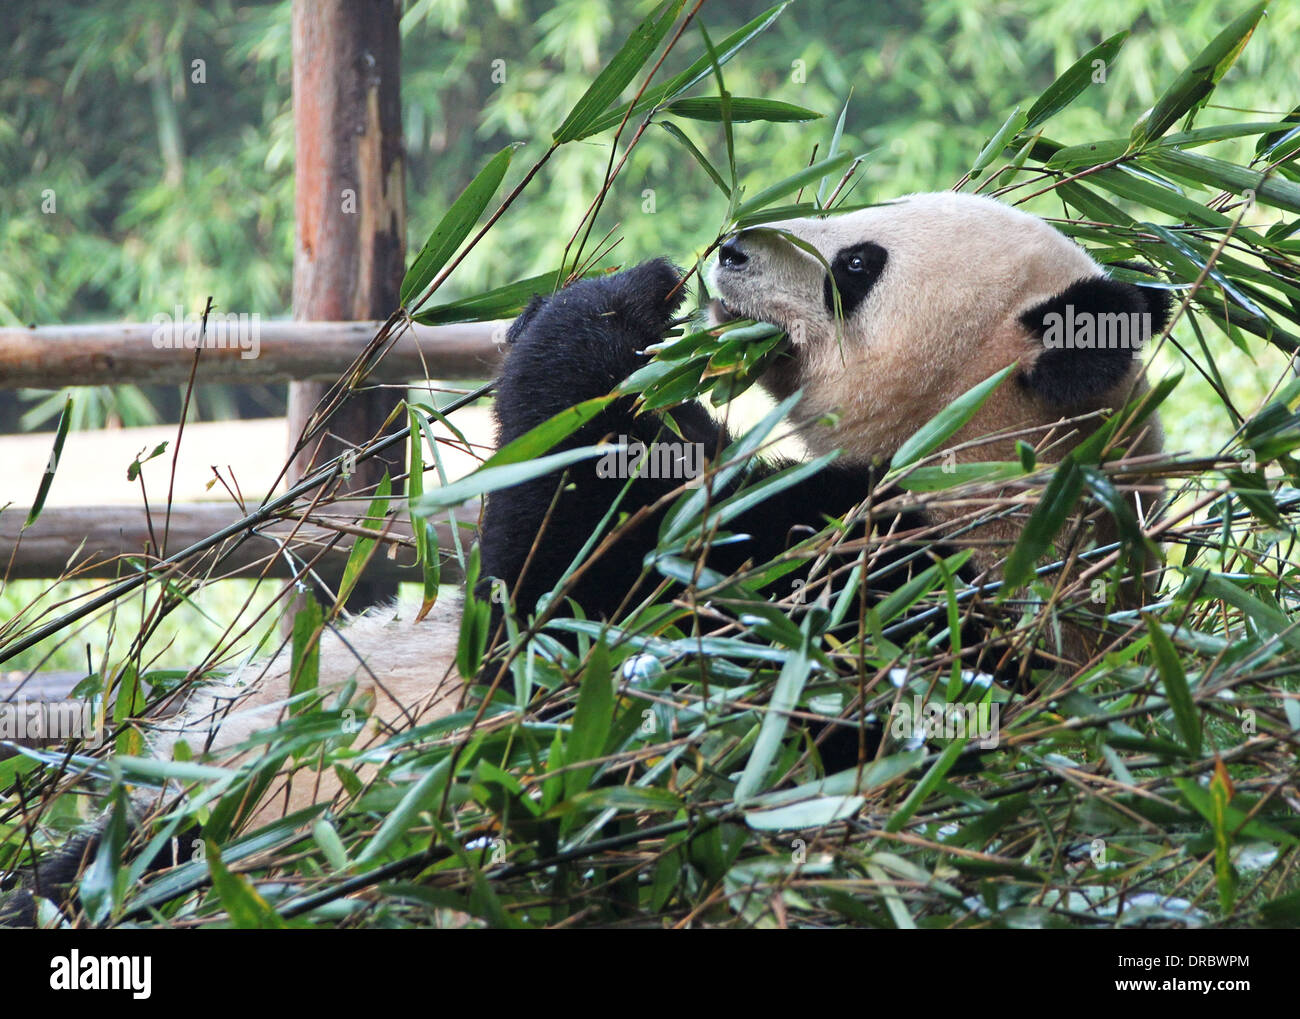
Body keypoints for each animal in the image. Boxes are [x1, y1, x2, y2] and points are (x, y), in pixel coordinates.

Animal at [1, 190, 1172, 924]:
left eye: (855, 265)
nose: (729, 250)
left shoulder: (878, 598)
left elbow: (571, 640)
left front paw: (603, 311)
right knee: (86, 865)